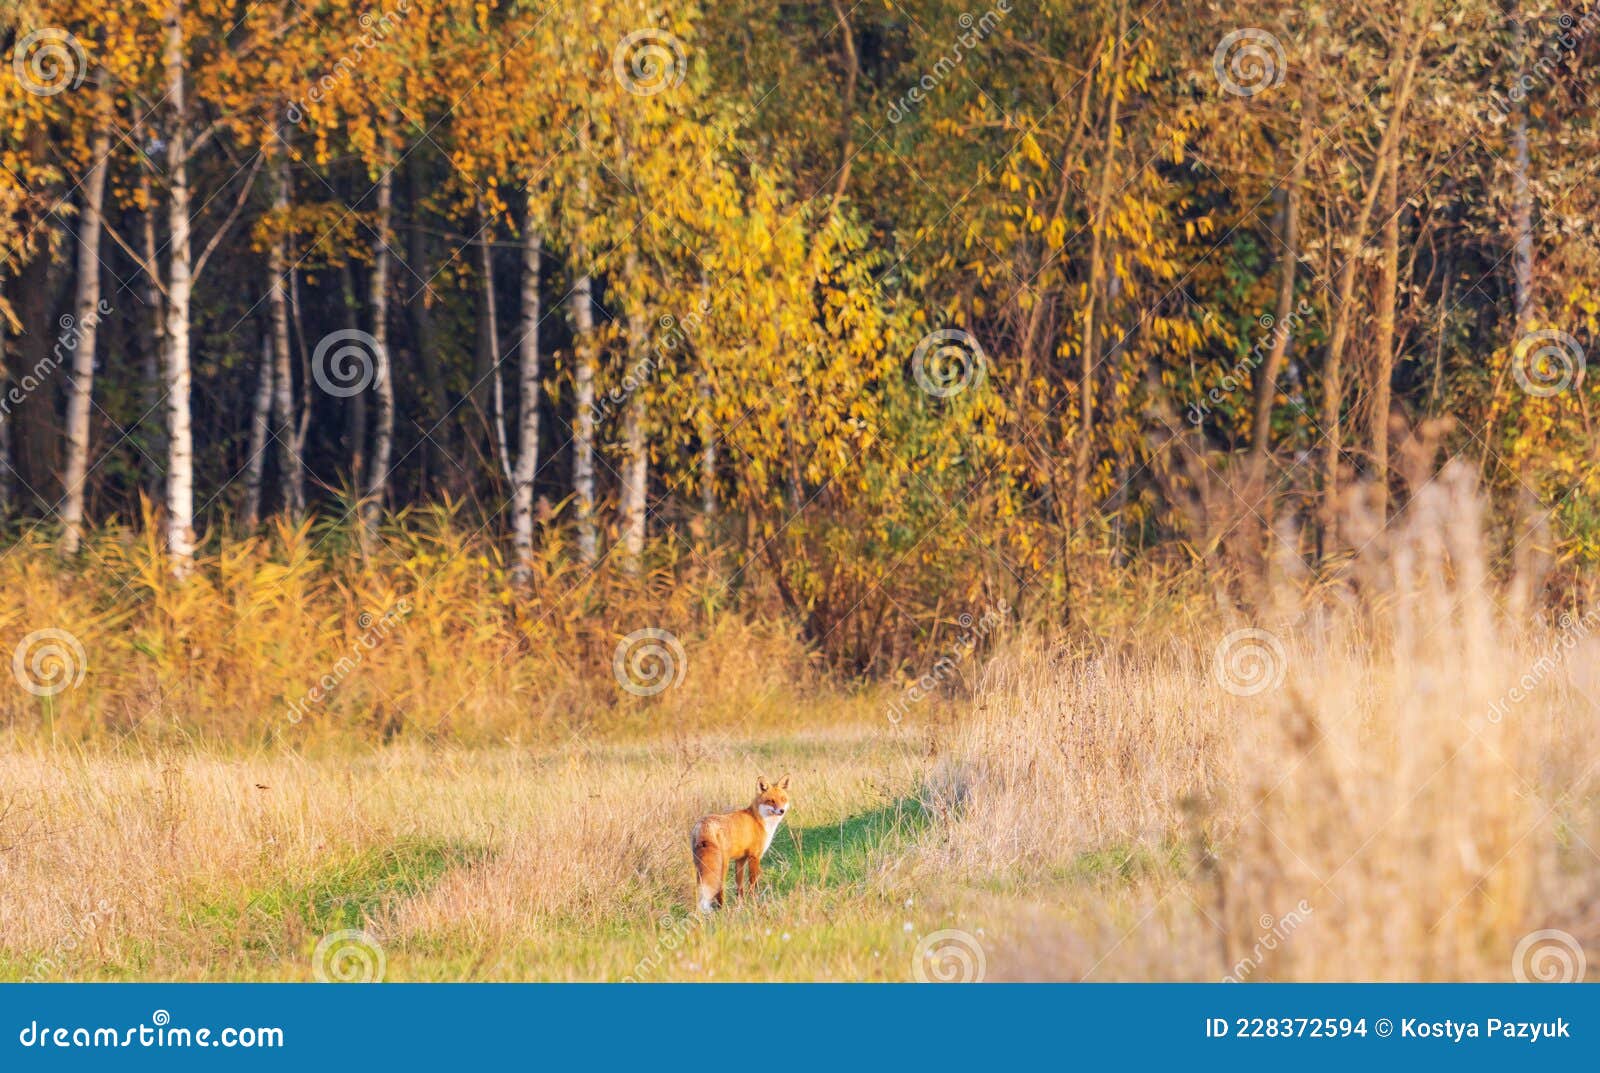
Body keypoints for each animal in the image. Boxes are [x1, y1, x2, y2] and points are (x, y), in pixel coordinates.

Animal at [690, 775, 791, 912]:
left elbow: (740, 885)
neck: (759, 821)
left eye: (783, 799)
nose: (781, 810)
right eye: (771, 801)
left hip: (700, 866)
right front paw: (754, 903)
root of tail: (703, 825)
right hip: (722, 865)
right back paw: (722, 910)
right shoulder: (754, 857)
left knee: (700, 889)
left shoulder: (740, 860)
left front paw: (741, 905)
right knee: (720, 889)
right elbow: (753, 883)